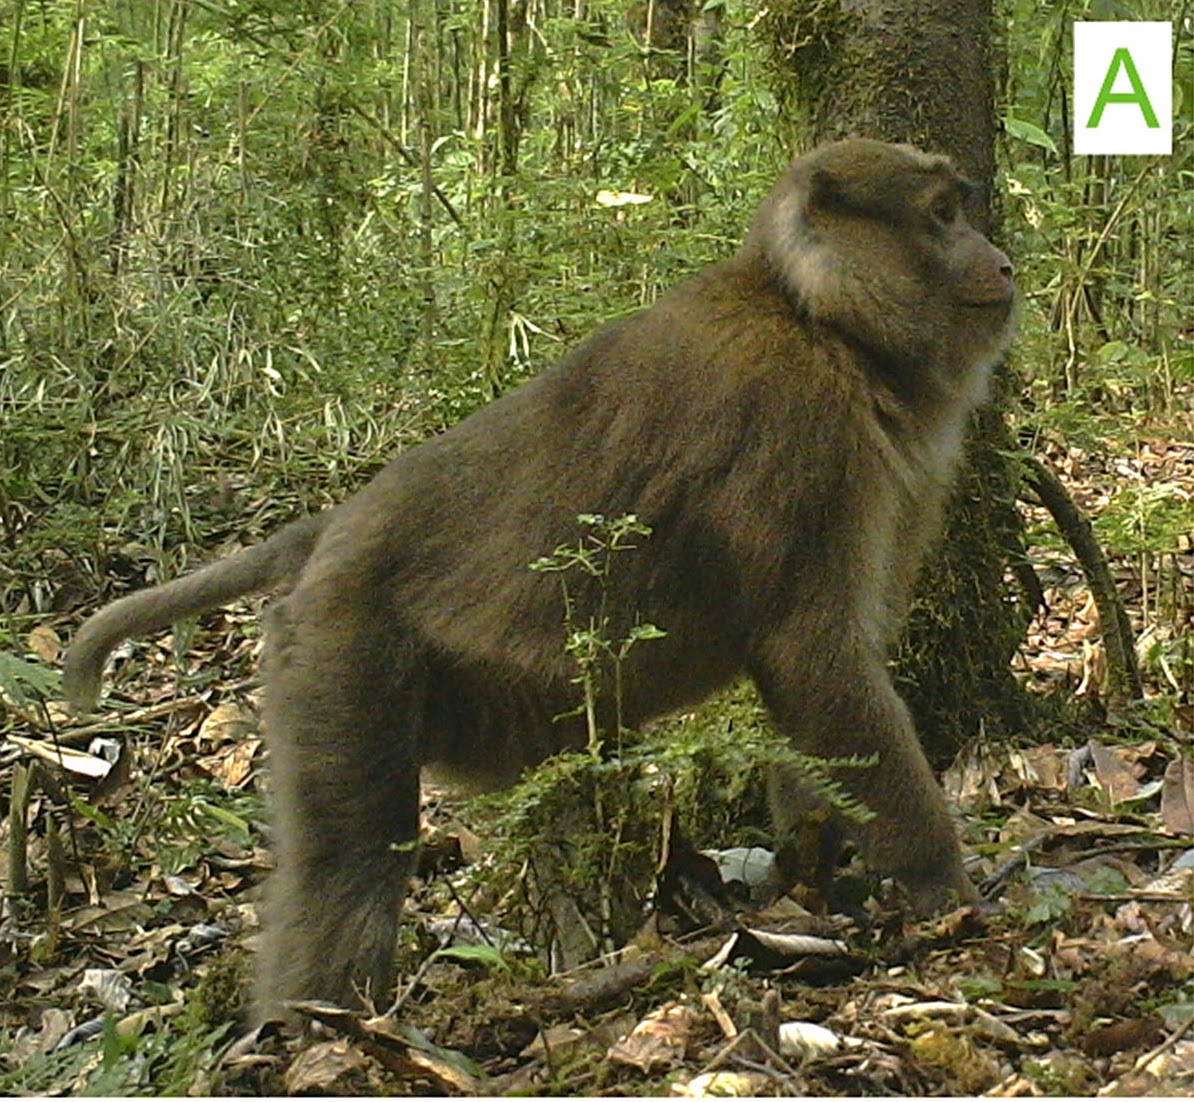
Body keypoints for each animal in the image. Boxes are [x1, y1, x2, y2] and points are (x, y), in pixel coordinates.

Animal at [64, 139, 1015, 1024]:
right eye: (941, 214)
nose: (1002, 261)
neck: (821, 321)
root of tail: (334, 531)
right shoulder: (805, 433)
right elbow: (816, 664)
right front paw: (947, 889)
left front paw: (811, 871)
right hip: (341, 652)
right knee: (354, 858)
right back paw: (315, 1028)